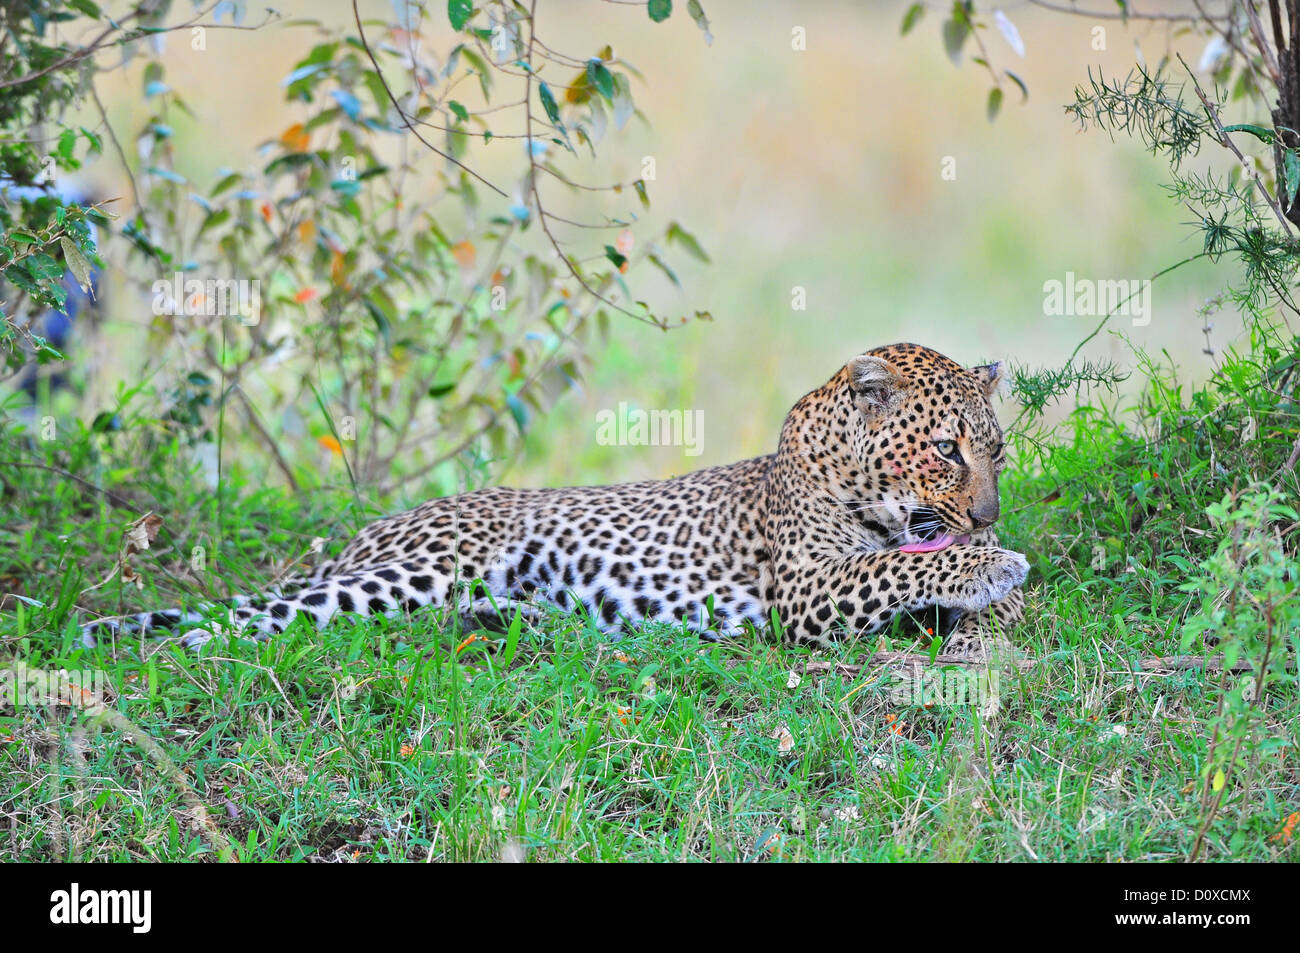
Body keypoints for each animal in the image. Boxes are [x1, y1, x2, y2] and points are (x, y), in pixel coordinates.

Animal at [81, 342, 1028, 658]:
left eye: (997, 449)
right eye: (946, 449)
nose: (987, 514)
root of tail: (364, 535)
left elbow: (945, 583)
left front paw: (987, 603)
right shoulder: (806, 591)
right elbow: (895, 571)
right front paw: (990, 566)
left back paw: (524, 620)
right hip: (420, 567)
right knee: (263, 615)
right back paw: (173, 643)